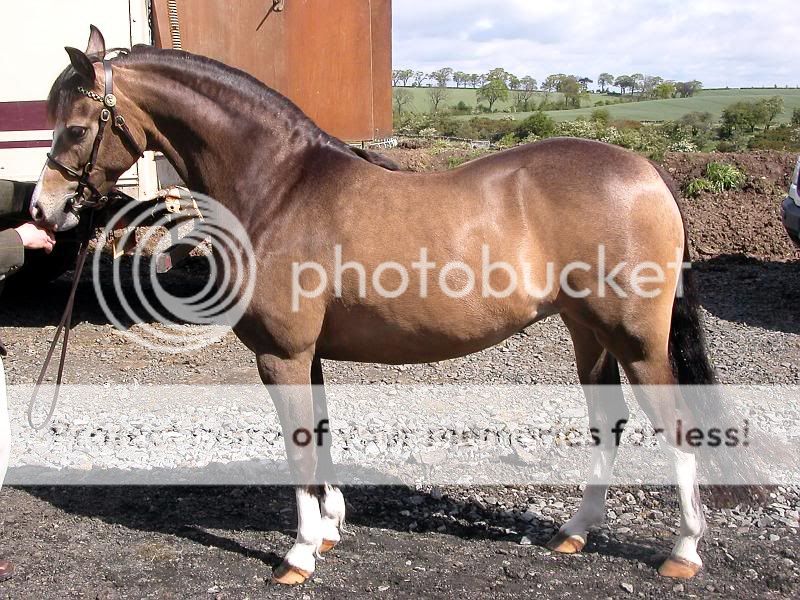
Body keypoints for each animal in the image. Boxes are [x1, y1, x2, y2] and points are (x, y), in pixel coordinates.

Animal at [32, 26, 726, 584]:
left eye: (75, 126)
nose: (43, 210)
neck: (279, 186)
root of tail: (645, 170)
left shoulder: (281, 354)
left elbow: (299, 443)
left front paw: (300, 553)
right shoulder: (307, 354)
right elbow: (319, 432)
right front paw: (328, 529)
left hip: (636, 340)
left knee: (677, 427)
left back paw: (683, 551)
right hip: (588, 332)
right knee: (608, 421)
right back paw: (574, 533)